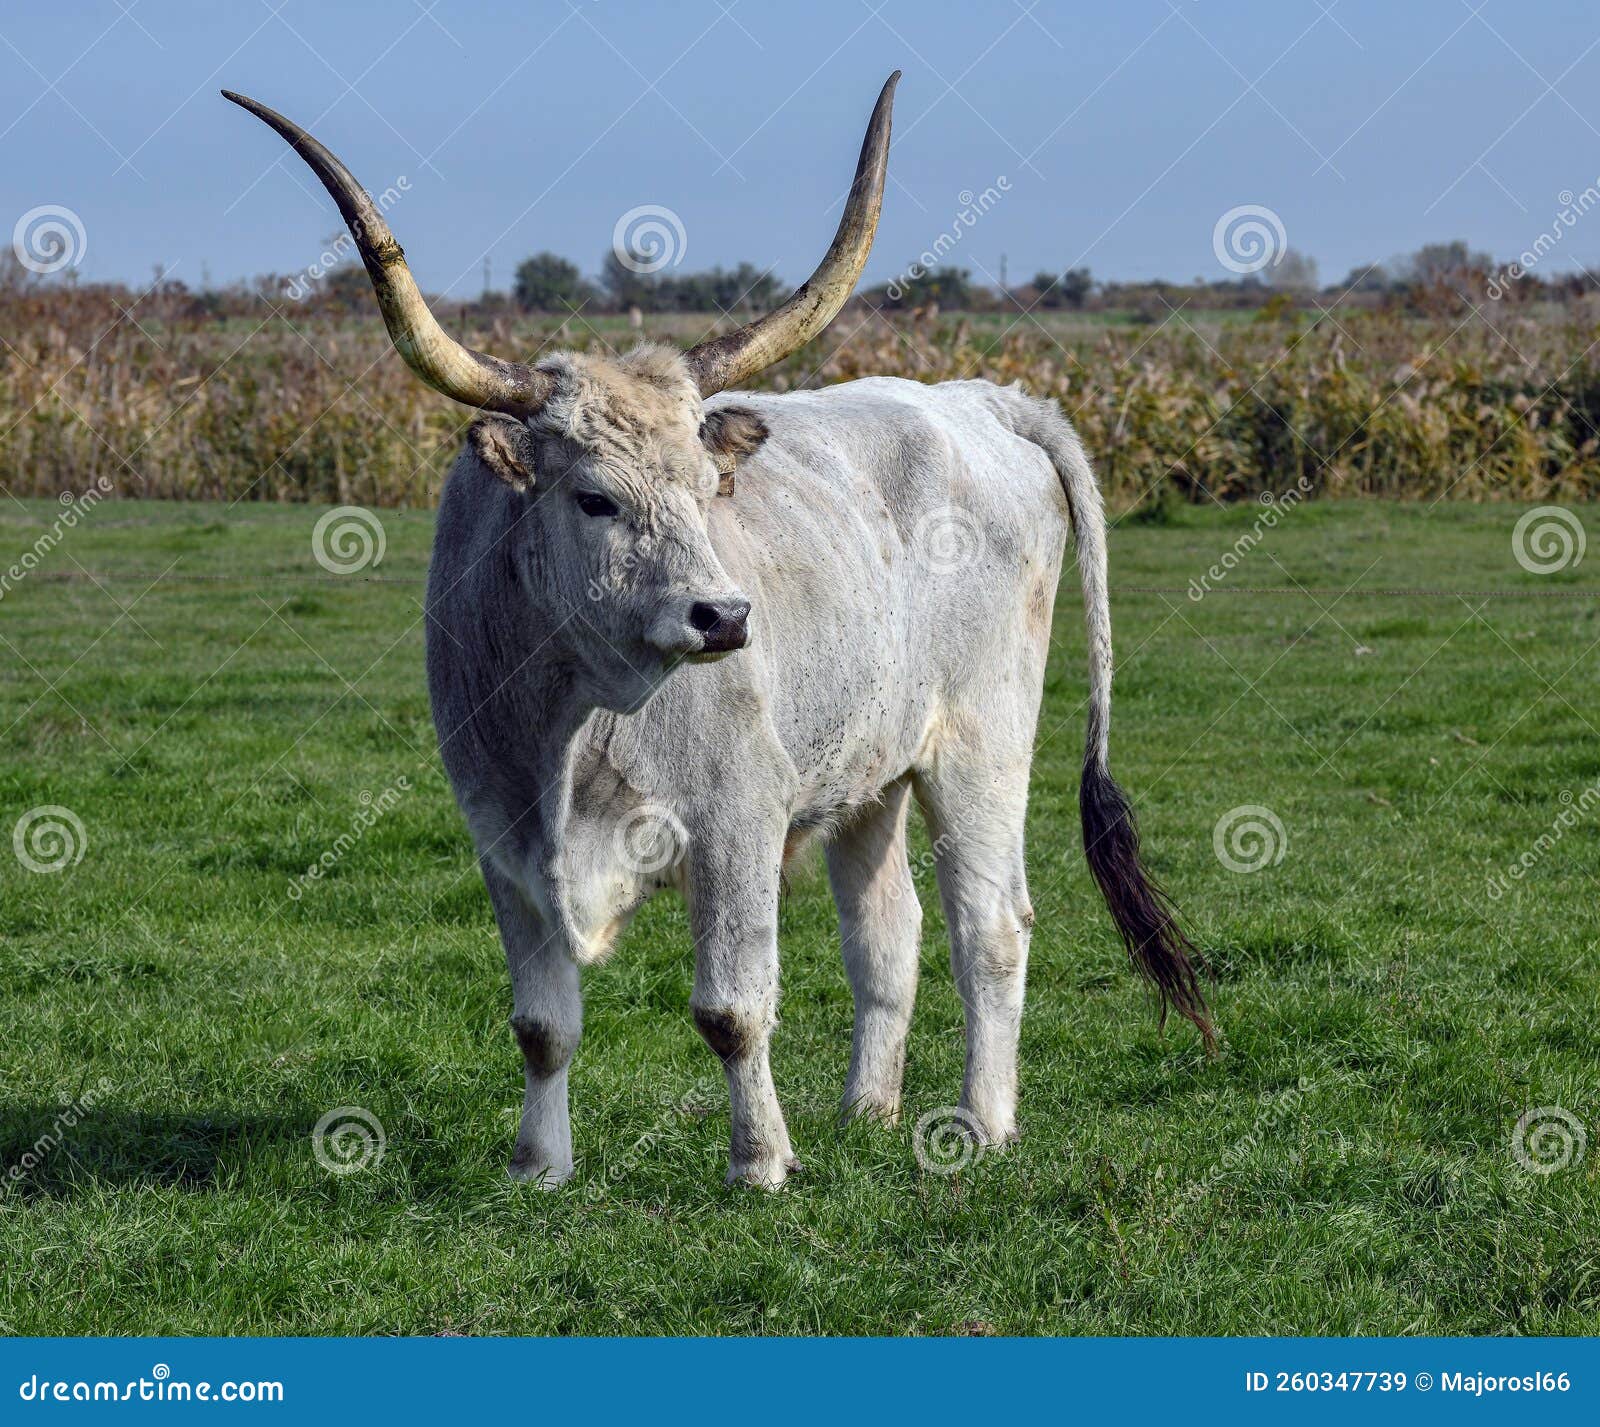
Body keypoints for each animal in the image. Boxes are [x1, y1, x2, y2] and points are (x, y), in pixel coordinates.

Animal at [227, 75, 1211, 1189]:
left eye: (709, 490)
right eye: (595, 497)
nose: (727, 614)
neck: (579, 714)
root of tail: (979, 396)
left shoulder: (739, 815)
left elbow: (732, 1010)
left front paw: (760, 1161)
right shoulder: (503, 840)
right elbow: (542, 1024)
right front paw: (539, 1166)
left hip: (981, 744)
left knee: (990, 925)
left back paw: (982, 1120)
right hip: (869, 765)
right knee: (889, 933)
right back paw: (865, 1111)